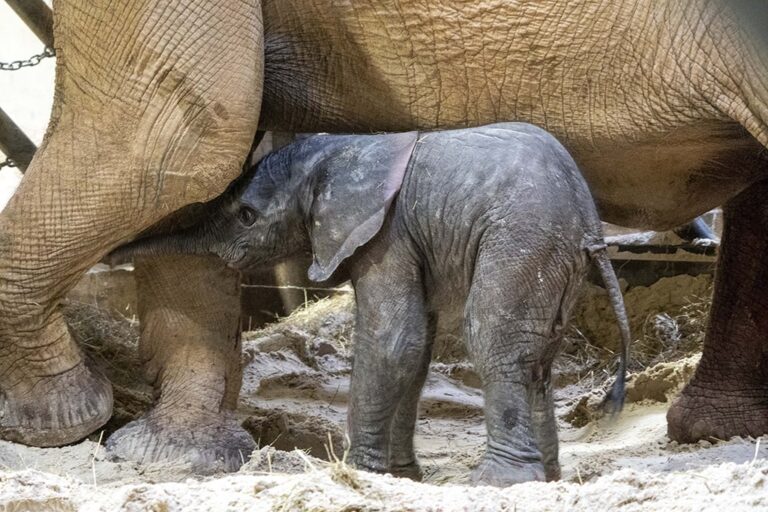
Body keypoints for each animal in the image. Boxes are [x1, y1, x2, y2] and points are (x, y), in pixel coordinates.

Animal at [109, 123, 632, 485]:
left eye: (247, 216)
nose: (112, 252)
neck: (342, 149)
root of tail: (590, 223)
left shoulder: (385, 234)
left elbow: (394, 340)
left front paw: (357, 472)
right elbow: (415, 350)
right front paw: (401, 476)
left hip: (524, 242)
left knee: (494, 342)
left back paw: (498, 483)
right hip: (554, 259)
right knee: (539, 359)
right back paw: (544, 480)